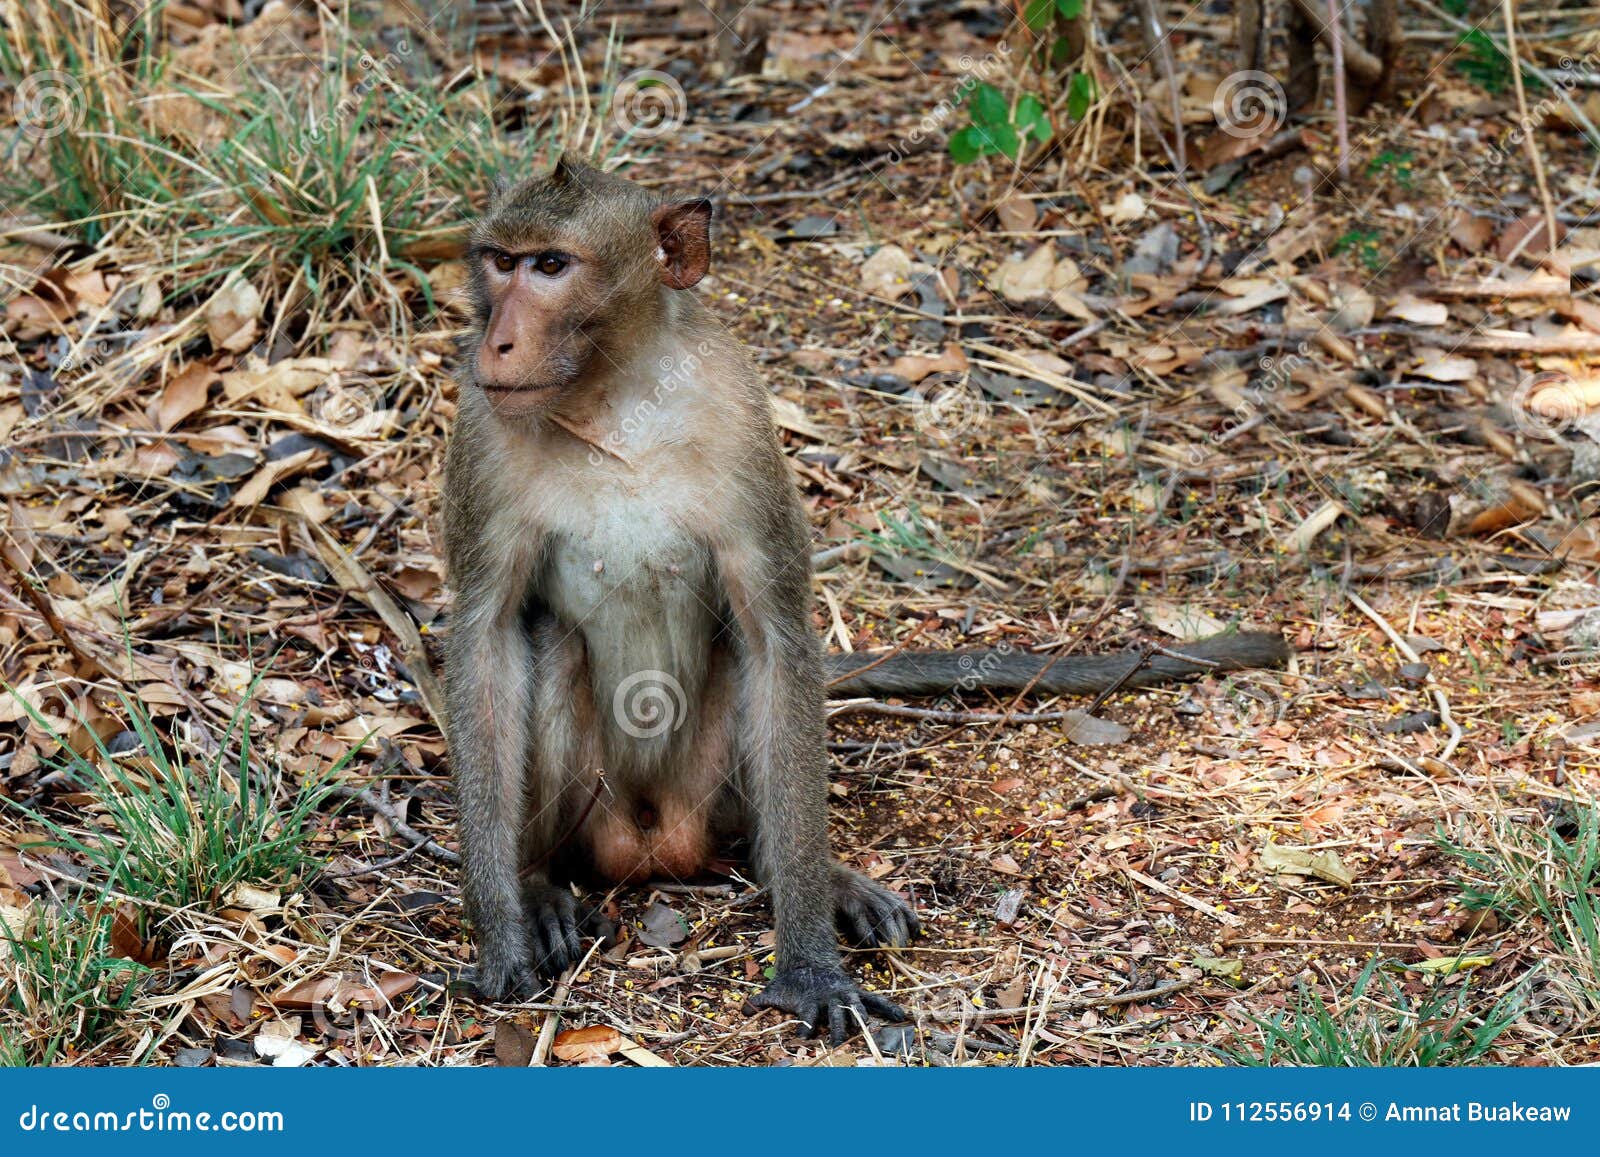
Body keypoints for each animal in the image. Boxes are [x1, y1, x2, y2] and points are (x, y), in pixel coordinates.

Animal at [440, 158, 1290, 1045]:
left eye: (551, 266)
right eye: (500, 261)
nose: (498, 340)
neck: (615, 402)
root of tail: (655, 848)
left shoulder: (739, 415)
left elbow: (776, 638)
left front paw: (809, 957)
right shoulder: (483, 431)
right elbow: (488, 632)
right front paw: (502, 924)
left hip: (710, 798)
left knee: (740, 671)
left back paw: (792, 868)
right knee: (548, 643)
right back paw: (542, 880)